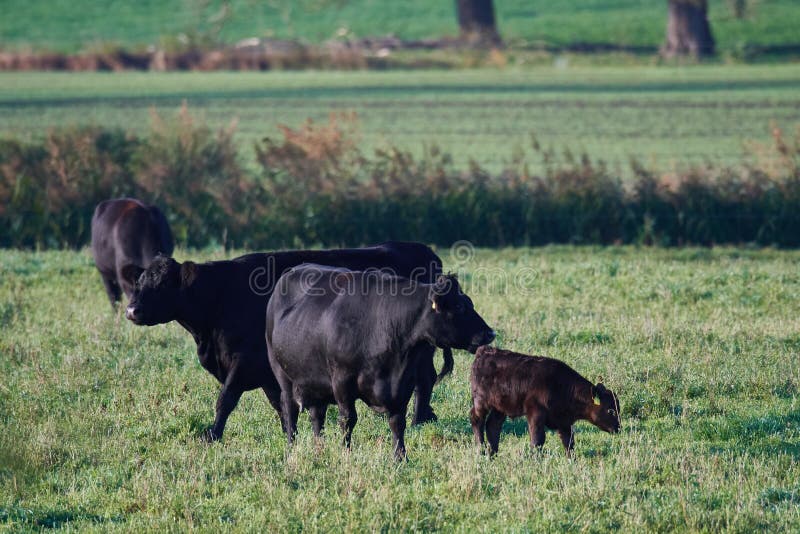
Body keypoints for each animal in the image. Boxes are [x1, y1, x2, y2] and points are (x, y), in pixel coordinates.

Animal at [123, 242, 453, 441]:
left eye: (163, 283)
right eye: (139, 282)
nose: (131, 310)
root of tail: (422, 250)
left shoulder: (244, 362)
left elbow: (225, 399)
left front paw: (212, 435)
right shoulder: (270, 370)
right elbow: (280, 403)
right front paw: (289, 434)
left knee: (425, 379)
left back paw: (419, 420)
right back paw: (426, 417)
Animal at [266, 265, 495, 459]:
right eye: (459, 306)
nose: (490, 333)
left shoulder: (403, 384)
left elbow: (397, 422)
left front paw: (400, 457)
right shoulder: (341, 380)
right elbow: (347, 419)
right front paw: (345, 452)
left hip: (314, 381)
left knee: (317, 415)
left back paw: (318, 447)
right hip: (283, 375)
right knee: (290, 410)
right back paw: (291, 447)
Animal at [470, 346, 620, 456]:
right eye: (611, 410)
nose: (618, 428)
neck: (561, 386)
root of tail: (484, 351)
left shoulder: (564, 421)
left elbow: (569, 441)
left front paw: (572, 459)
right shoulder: (535, 413)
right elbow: (538, 439)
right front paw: (535, 458)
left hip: (500, 408)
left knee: (492, 426)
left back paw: (493, 453)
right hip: (481, 403)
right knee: (477, 419)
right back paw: (481, 450)